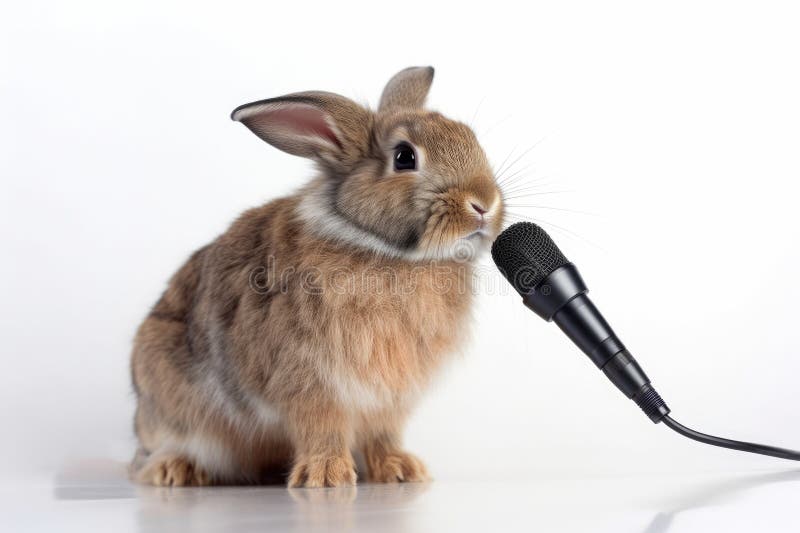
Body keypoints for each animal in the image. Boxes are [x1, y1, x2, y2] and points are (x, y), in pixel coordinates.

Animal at [130, 66, 505, 487]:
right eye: (404, 157)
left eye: (468, 136)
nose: (484, 204)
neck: (388, 250)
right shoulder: (311, 382)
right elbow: (321, 426)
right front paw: (327, 476)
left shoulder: (388, 397)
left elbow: (383, 433)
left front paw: (401, 470)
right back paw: (175, 470)